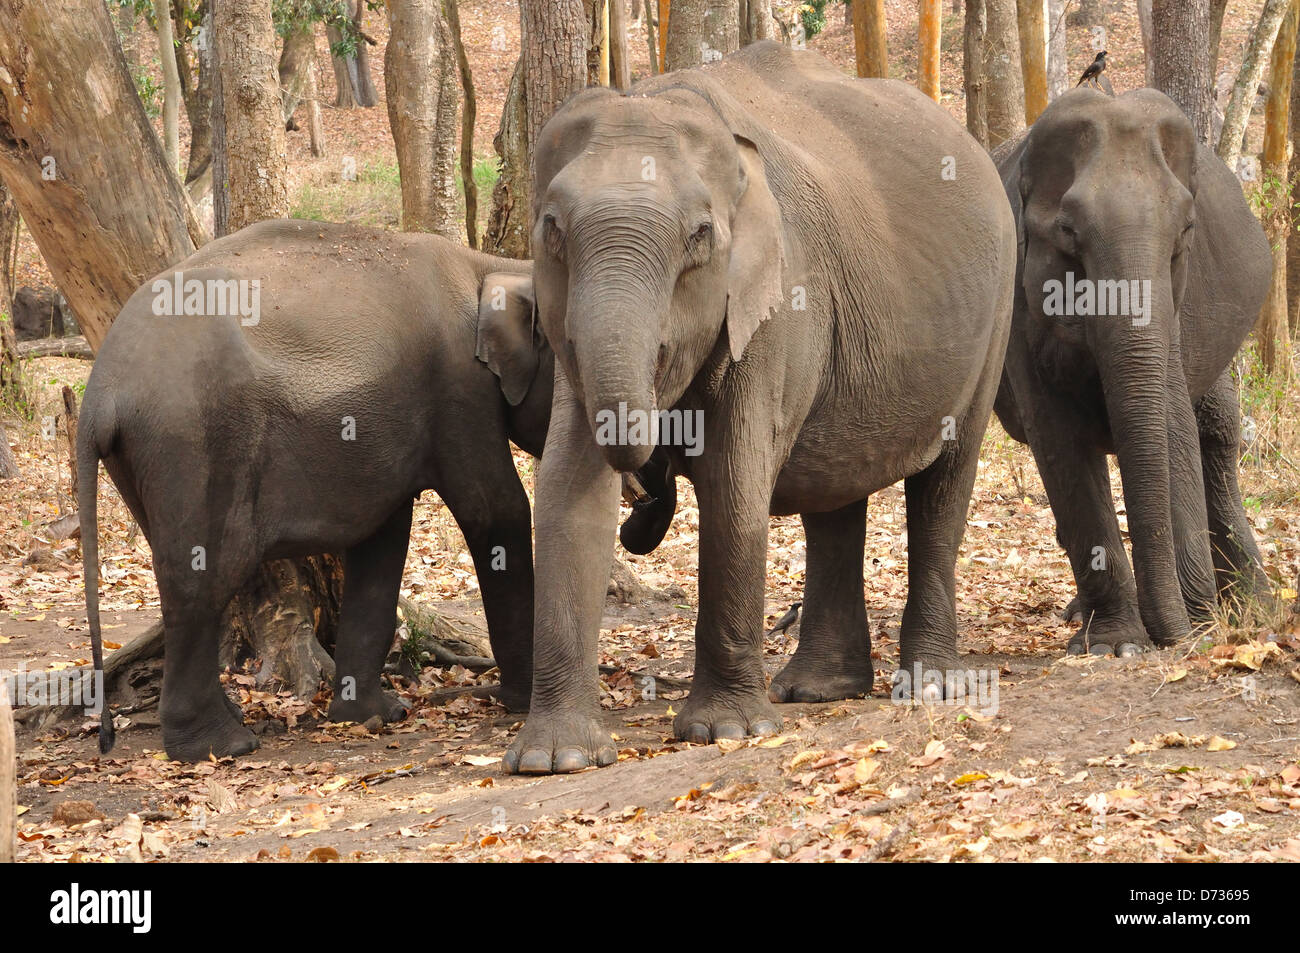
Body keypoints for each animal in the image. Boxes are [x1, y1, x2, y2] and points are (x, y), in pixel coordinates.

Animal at [501, 40, 1019, 774]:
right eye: (552, 230)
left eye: (699, 237)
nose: (646, 503)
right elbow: (566, 489)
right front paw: (556, 759)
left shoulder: (776, 300)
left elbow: (734, 481)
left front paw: (724, 731)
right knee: (836, 494)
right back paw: (817, 689)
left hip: (993, 317)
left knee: (946, 479)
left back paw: (929, 689)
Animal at [993, 87, 1268, 655]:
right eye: (1067, 233)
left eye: (1187, 230)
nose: (1177, 636)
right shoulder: (1018, 308)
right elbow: (1058, 442)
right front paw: (1115, 644)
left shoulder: (1181, 308)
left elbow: (1176, 426)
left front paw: (1197, 621)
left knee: (1218, 429)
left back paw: (1255, 605)